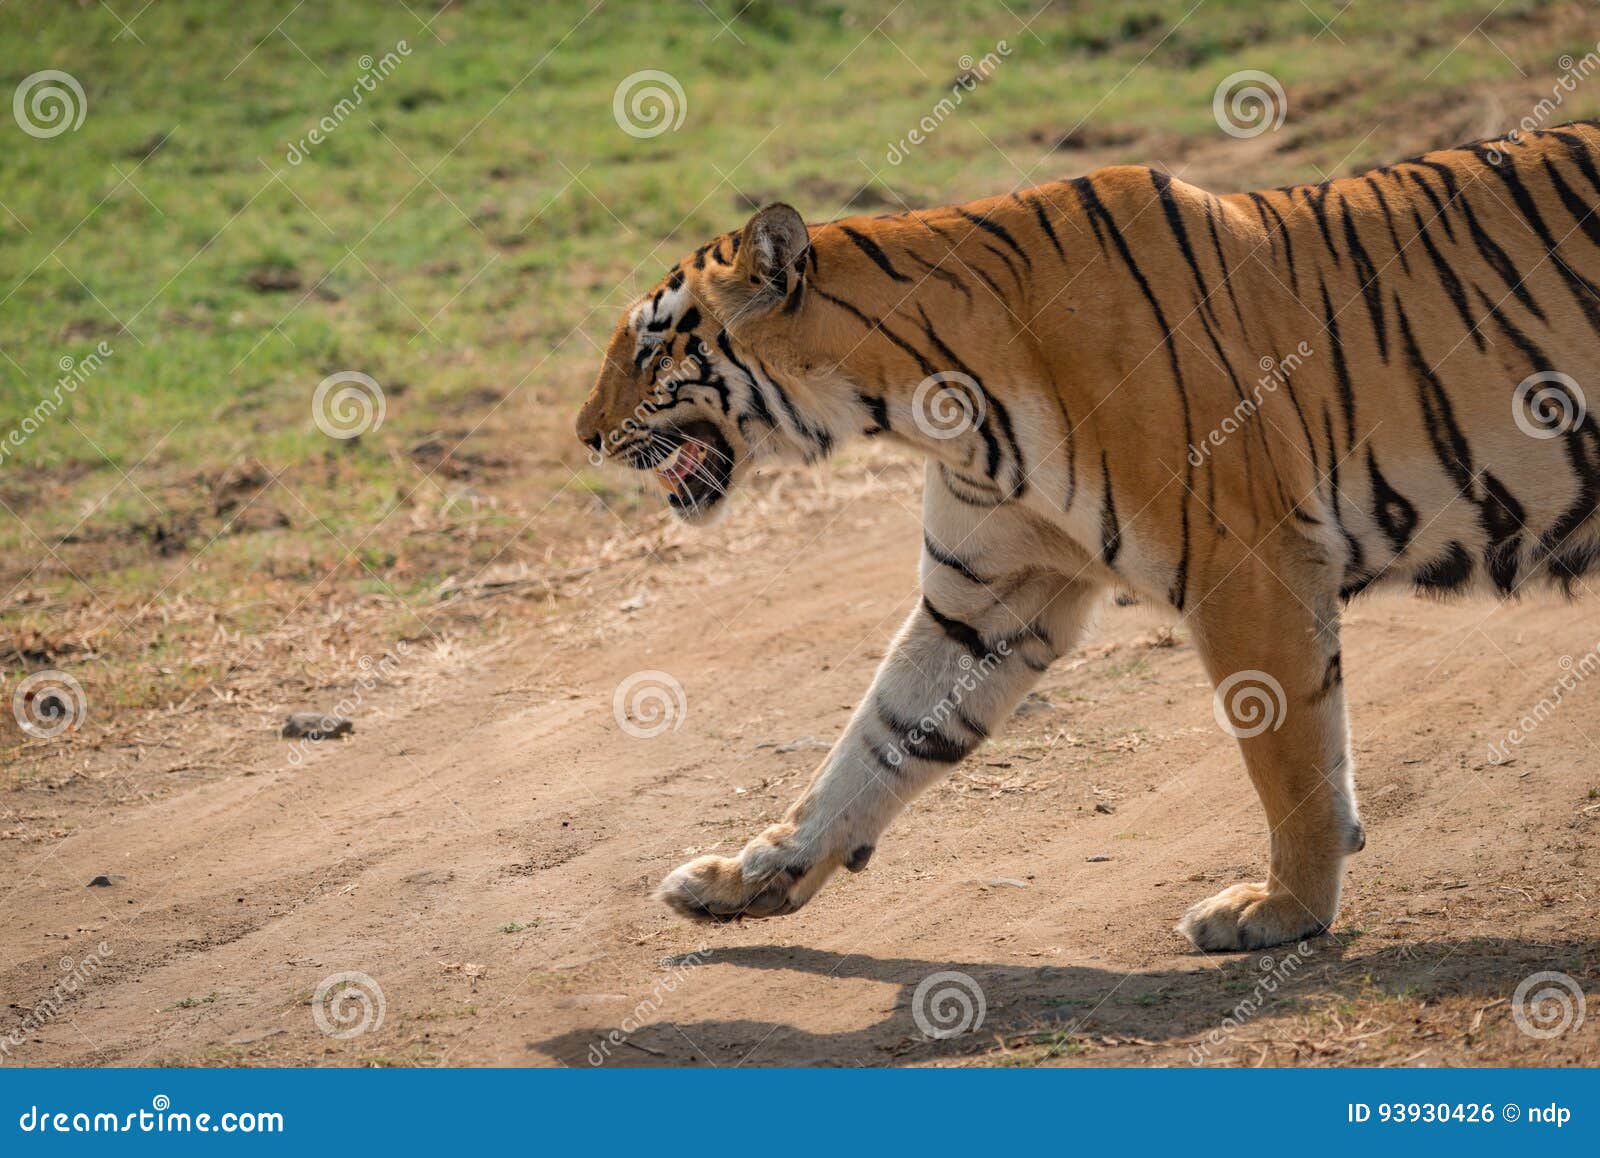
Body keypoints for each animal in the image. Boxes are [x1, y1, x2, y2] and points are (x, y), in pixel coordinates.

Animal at [575, 121, 1600, 950]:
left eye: (649, 350)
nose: (584, 436)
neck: (921, 402)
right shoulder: (988, 596)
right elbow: (875, 742)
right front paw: (742, 882)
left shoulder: (1246, 568)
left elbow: (1291, 758)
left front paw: (1280, 914)